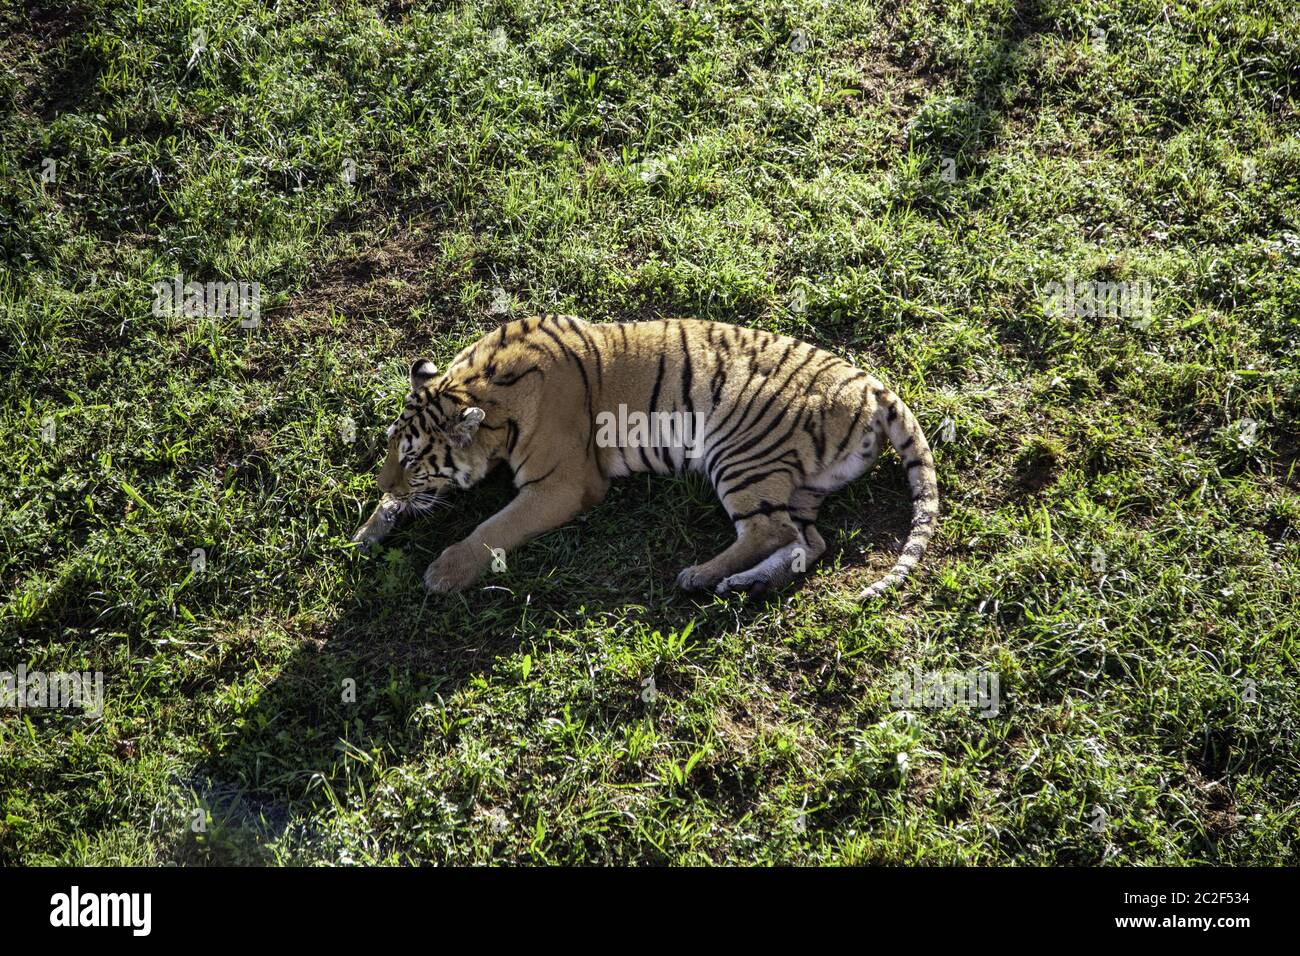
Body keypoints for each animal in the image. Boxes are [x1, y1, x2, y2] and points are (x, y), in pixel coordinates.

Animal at [352, 315, 939, 598]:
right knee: (805, 542)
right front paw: (368, 529)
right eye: (390, 448)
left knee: (769, 532)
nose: (381, 483)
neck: (477, 387)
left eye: (412, 460)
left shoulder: (562, 485)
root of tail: (870, 386)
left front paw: (444, 571)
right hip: (803, 485)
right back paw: (743, 584)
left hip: (738, 451)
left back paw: (699, 577)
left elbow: (493, 527)